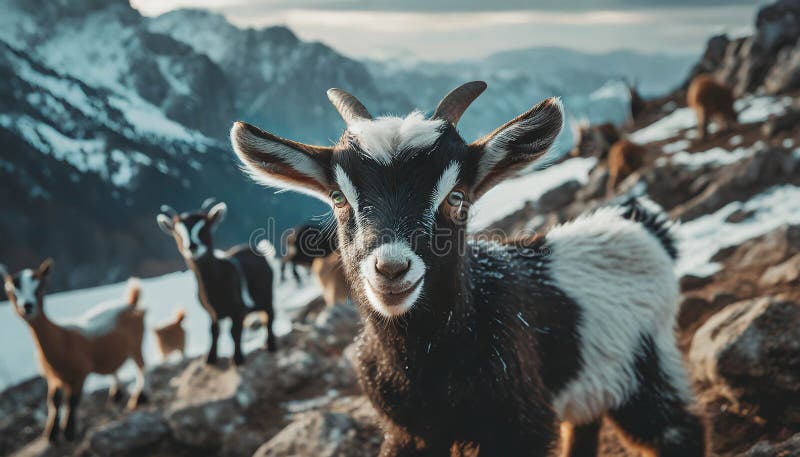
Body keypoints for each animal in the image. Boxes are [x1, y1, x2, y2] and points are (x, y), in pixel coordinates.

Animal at [1, 261, 147, 442]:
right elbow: (53, 401)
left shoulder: (80, 373)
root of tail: (130, 303)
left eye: (40, 287)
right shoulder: (53, 377)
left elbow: (72, 400)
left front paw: (69, 432)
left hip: (136, 343)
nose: (27, 306)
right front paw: (51, 434)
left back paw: (138, 398)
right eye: (11, 290)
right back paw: (116, 395)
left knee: (142, 366)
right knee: (115, 369)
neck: (62, 339)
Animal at [156, 199, 276, 365]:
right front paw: (210, 358)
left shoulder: (237, 309)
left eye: (204, 228)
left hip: (267, 295)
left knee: (270, 316)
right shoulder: (211, 312)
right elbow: (214, 332)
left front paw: (238, 359)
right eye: (177, 232)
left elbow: (234, 332)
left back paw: (271, 345)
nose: (192, 246)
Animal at [231, 81, 707, 457]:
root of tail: (646, 228)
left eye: (456, 196)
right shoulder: (408, 432)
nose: (390, 269)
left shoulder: (521, 427)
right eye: (337, 198)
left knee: (679, 430)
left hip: (644, 367)